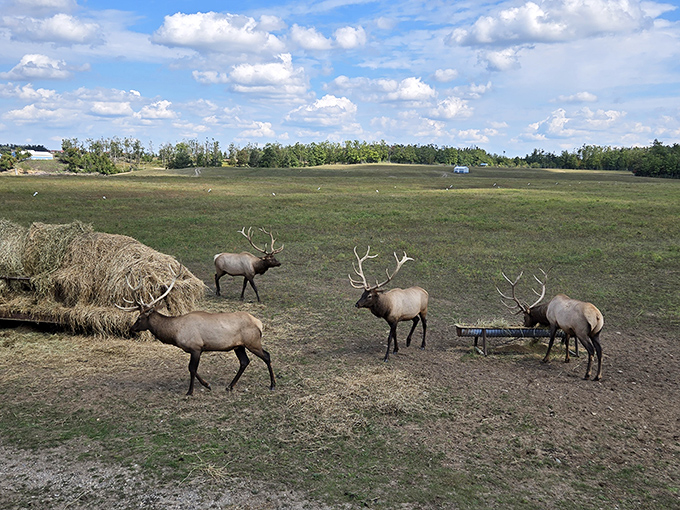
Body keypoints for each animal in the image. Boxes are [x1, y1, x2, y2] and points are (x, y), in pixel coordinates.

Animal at [117, 264, 276, 395]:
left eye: (139, 317)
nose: (132, 328)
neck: (175, 332)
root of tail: (259, 323)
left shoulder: (196, 347)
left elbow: (192, 369)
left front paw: (190, 391)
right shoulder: (196, 349)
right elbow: (193, 369)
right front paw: (207, 385)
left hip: (252, 342)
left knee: (266, 356)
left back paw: (272, 384)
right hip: (239, 346)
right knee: (244, 362)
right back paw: (230, 386)